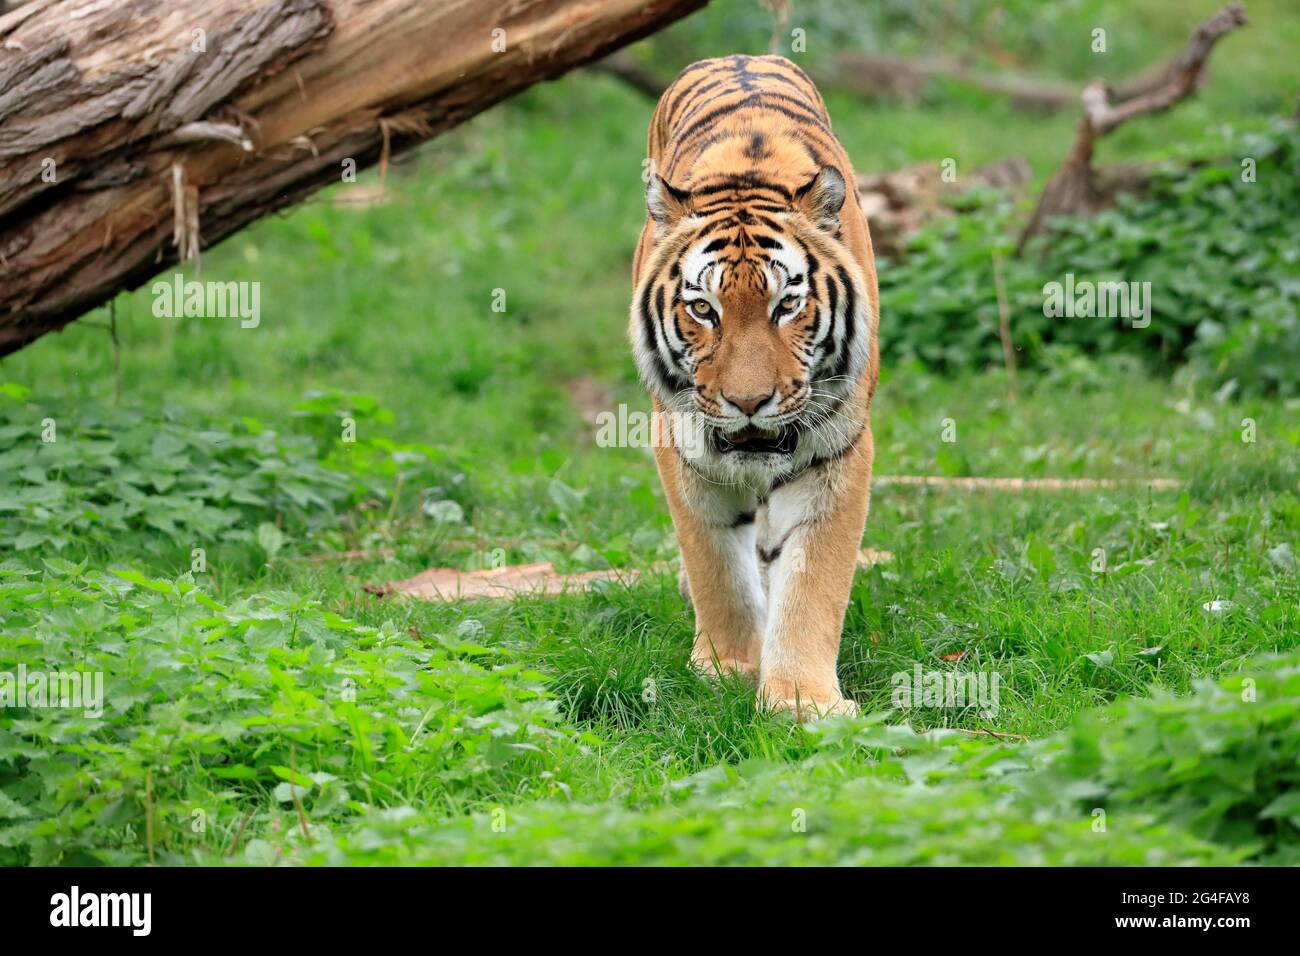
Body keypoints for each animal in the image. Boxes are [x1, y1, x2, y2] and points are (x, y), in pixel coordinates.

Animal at [629, 54, 879, 721]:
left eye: (786, 305)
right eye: (703, 309)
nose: (747, 403)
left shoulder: (839, 449)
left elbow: (815, 578)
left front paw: (802, 700)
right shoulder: (682, 443)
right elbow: (716, 563)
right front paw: (730, 667)